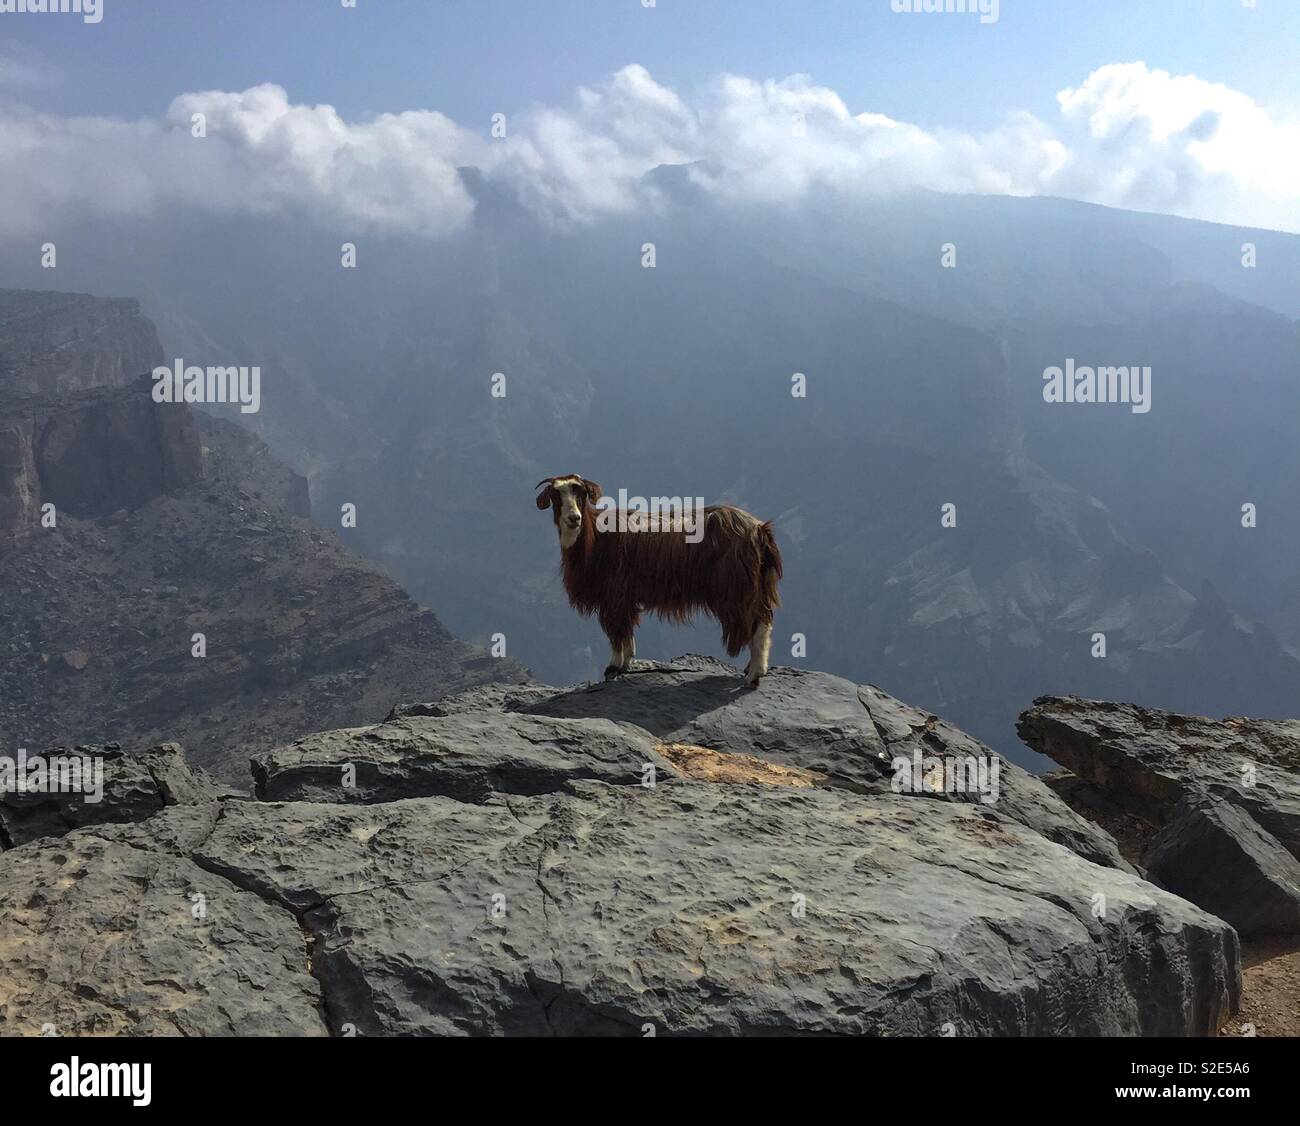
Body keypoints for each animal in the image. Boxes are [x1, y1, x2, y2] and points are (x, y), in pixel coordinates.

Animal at [535, 475, 783, 687]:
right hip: (756, 586)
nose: (573, 518)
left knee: (759, 621)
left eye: (581, 492)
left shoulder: (613, 596)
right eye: (555, 494)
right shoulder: (624, 597)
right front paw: (626, 662)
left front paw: (614, 666)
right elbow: (626, 630)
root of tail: (759, 529)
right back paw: (751, 668)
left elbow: (616, 632)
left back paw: (754, 674)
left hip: (738, 589)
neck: (595, 539)